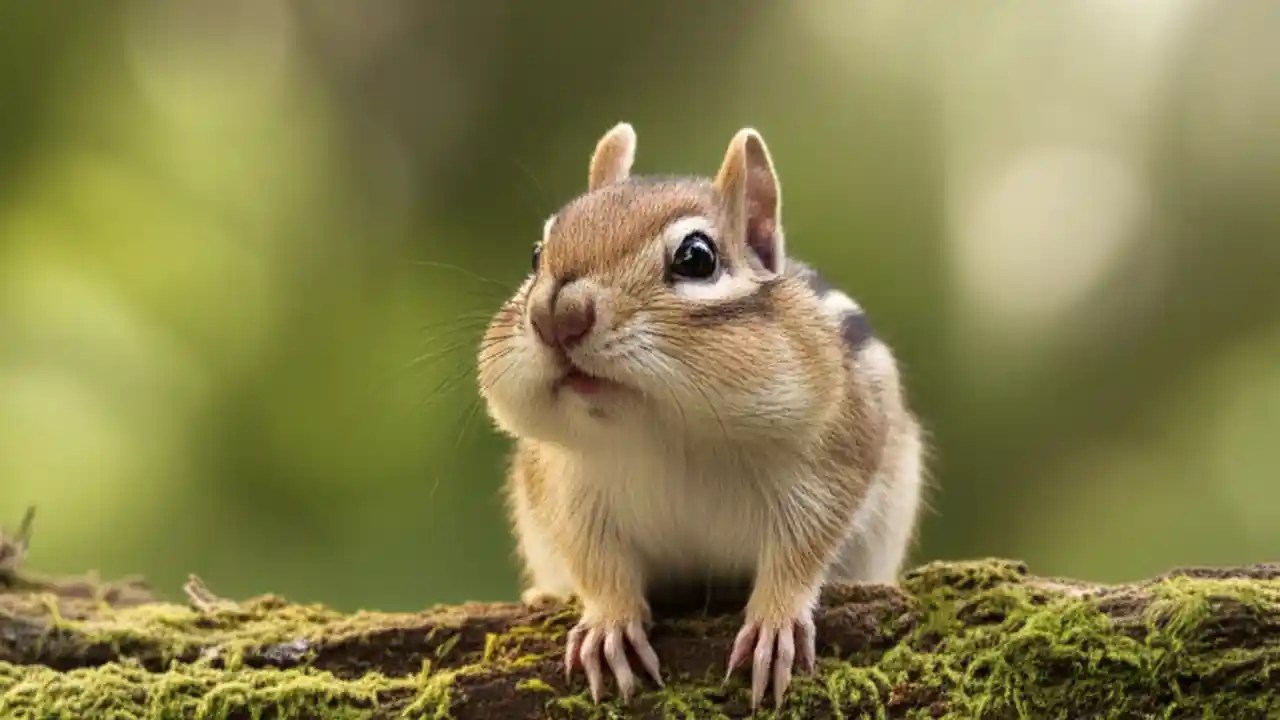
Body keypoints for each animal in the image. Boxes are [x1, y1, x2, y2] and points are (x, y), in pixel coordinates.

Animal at [476, 122, 926, 709]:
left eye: (696, 258)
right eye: (536, 255)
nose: (556, 317)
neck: (666, 432)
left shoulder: (834, 458)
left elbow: (801, 551)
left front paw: (775, 622)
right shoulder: (564, 486)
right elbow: (595, 562)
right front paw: (608, 623)